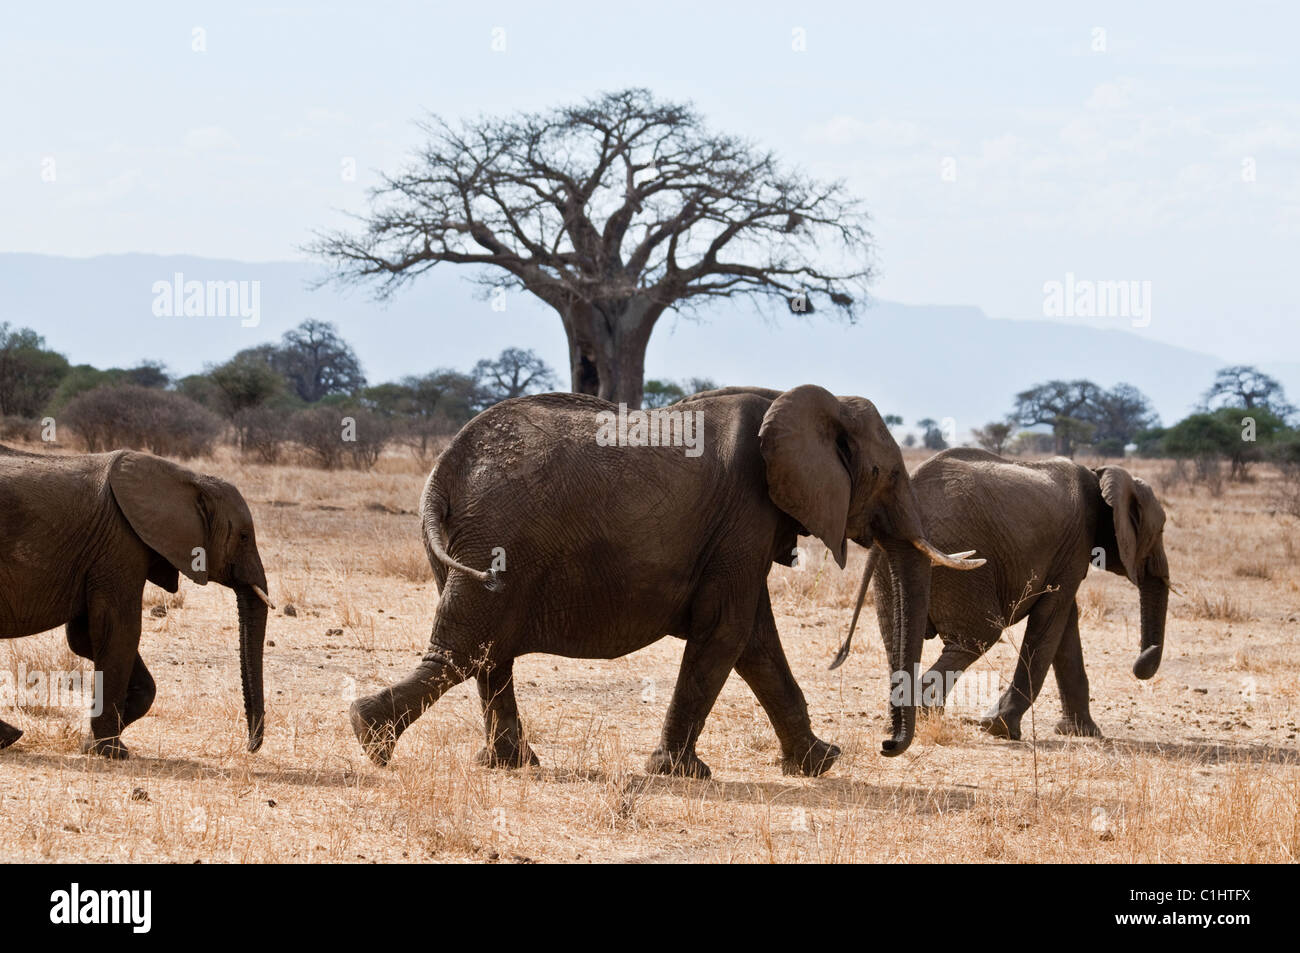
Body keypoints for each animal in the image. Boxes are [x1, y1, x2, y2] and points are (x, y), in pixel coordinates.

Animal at [0, 444, 272, 758]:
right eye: (244, 536)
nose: (250, 747)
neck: (188, 479)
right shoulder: (120, 543)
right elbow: (120, 630)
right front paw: (111, 751)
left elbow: (84, 638)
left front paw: (92, 743)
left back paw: (8, 737)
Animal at [349, 386, 984, 777]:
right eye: (885, 474)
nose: (884, 745)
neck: (793, 397)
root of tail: (445, 467)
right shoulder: (746, 517)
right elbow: (728, 635)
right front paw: (682, 773)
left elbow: (754, 641)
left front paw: (820, 763)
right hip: (494, 538)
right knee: (465, 651)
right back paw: (369, 737)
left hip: (471, 543)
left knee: (486, 654)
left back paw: (509, 764)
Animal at [832, 448, 1170, 740]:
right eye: (1162, 530)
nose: (1140, 664)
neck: (1100, 475)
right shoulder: (1076, 545)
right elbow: (1051, 622)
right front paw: (1000, 729)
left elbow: (1064, 627)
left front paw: (1083, 733)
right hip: (960, 560)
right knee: (978, 636)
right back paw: (926, 715)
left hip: (891, 564)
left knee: (899, 639)